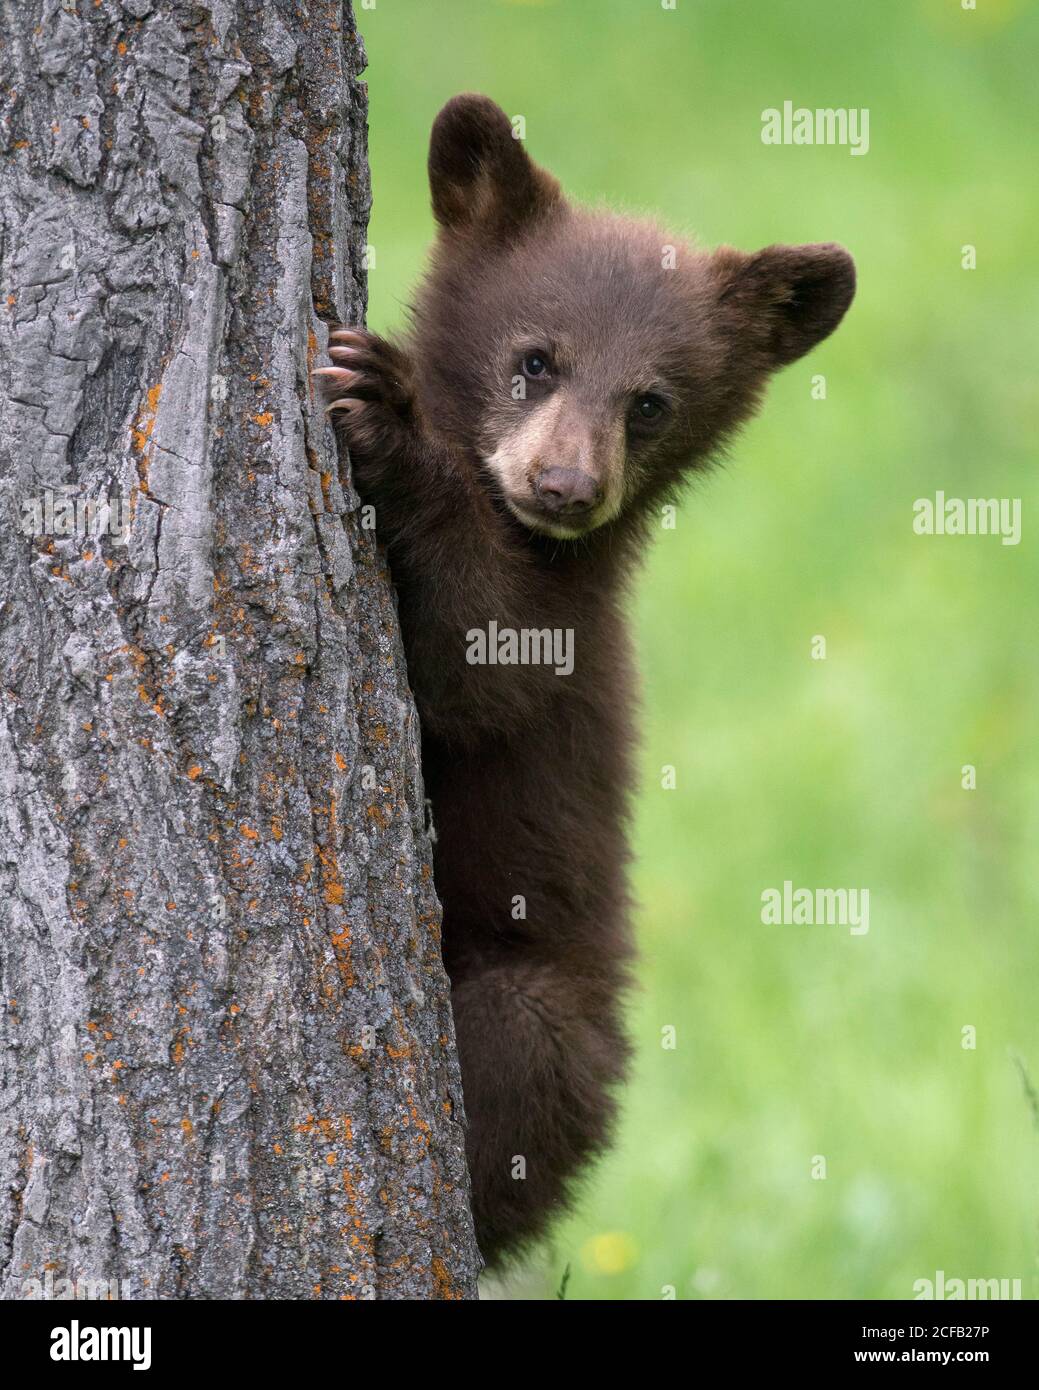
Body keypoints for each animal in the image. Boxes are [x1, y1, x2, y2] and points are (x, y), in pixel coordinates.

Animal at [316, 94, 855, 1269]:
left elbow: (476, 666)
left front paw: (390, 421)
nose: (565, 485)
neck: (544, 543)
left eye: (651, 401)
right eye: (534, 359)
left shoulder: (561, 629)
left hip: (541, 1008)